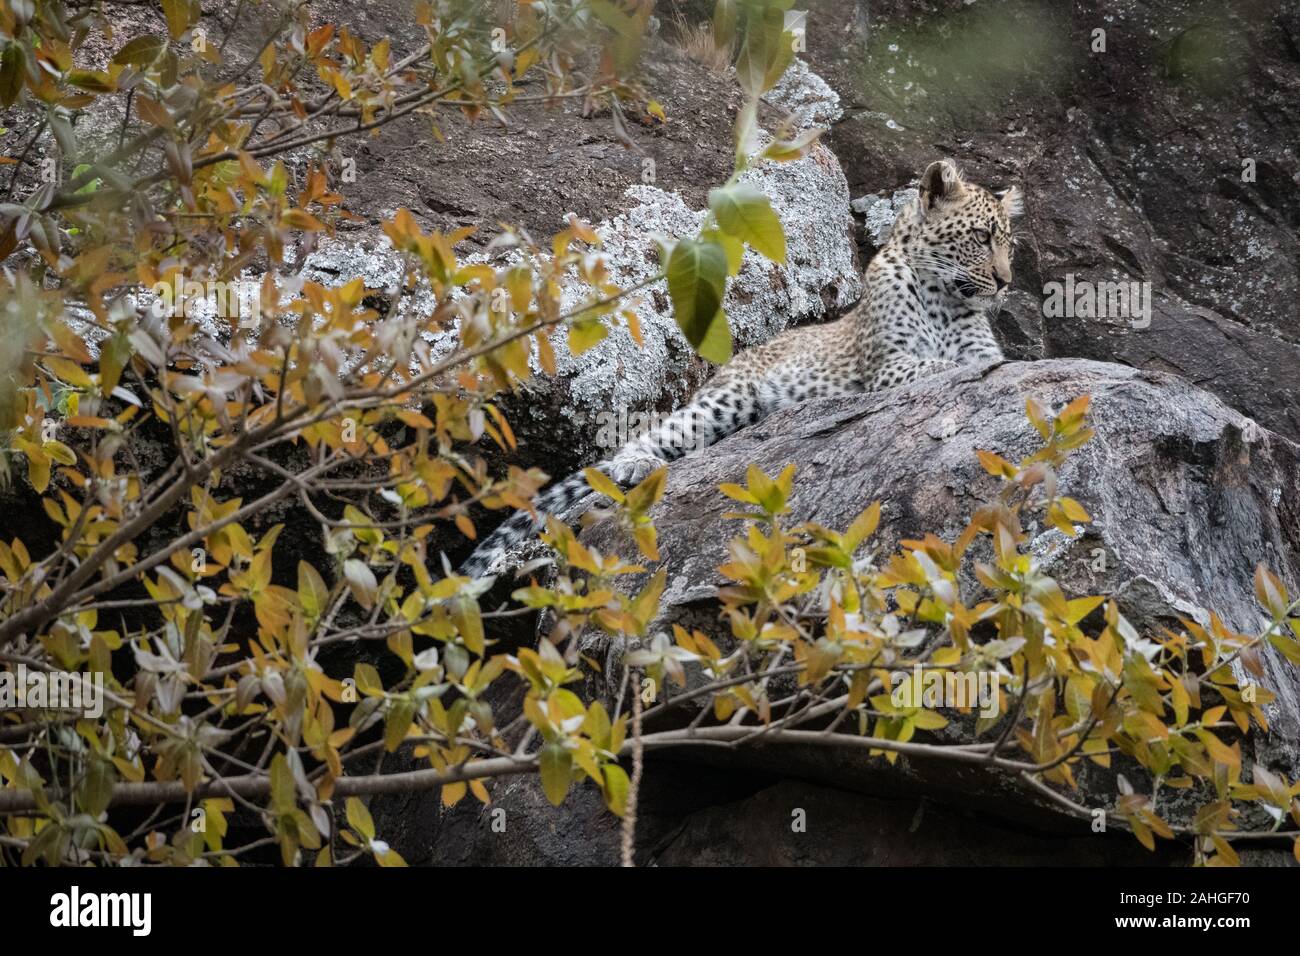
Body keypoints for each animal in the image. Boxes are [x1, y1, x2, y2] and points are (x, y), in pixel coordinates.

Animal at [460, 159, 1024, 577]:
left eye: (1008, 243)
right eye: (980, 237)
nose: (1005, 281)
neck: (945, 300)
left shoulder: (981, 356)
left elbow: (981, 362)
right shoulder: (887, 365)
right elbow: (931, 366)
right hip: (727, 400)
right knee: (648, 437)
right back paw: (633, 465)